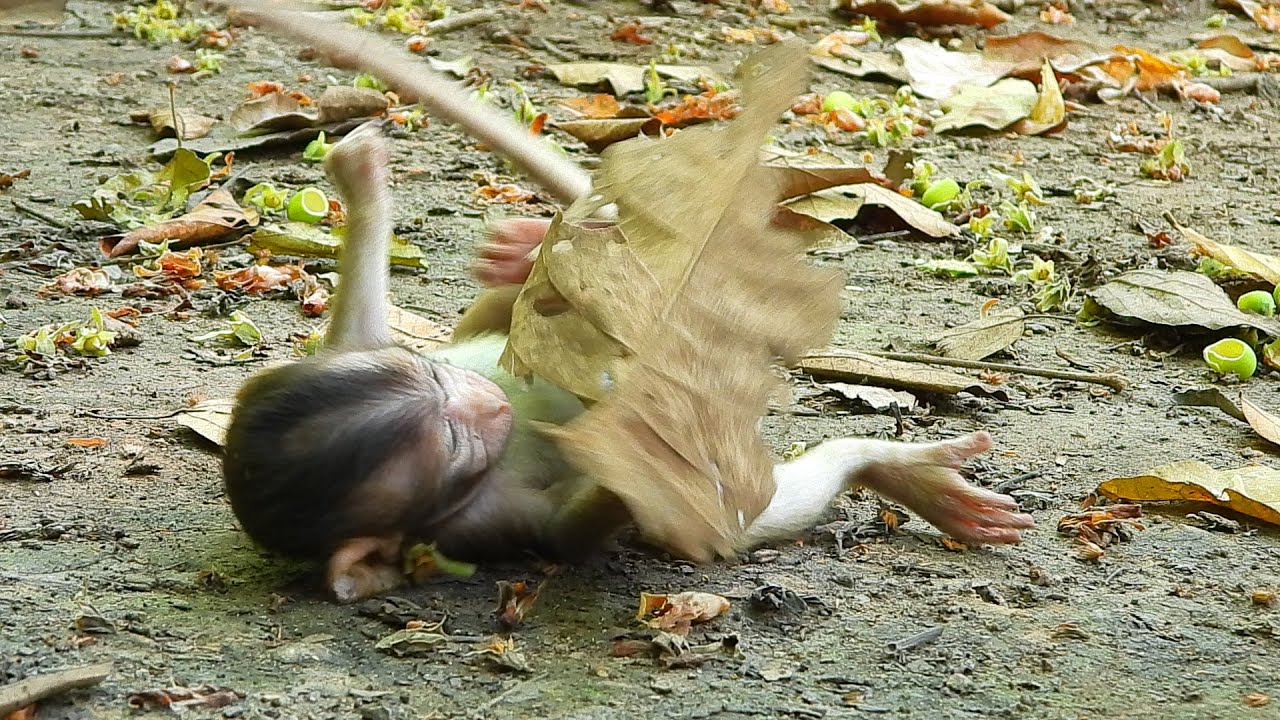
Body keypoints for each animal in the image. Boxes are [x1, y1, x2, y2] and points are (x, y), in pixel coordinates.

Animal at [222, 124, 1034, 603]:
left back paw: (530, 256)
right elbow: (575, 533)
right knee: (755, 500)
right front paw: (624, 450)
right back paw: (894, 467)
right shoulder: (481, 518)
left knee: (516, 316)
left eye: (437, 382)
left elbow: (361, 323)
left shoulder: (376, 350)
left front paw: (356, 173)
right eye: (452, 443)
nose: (489, 407)